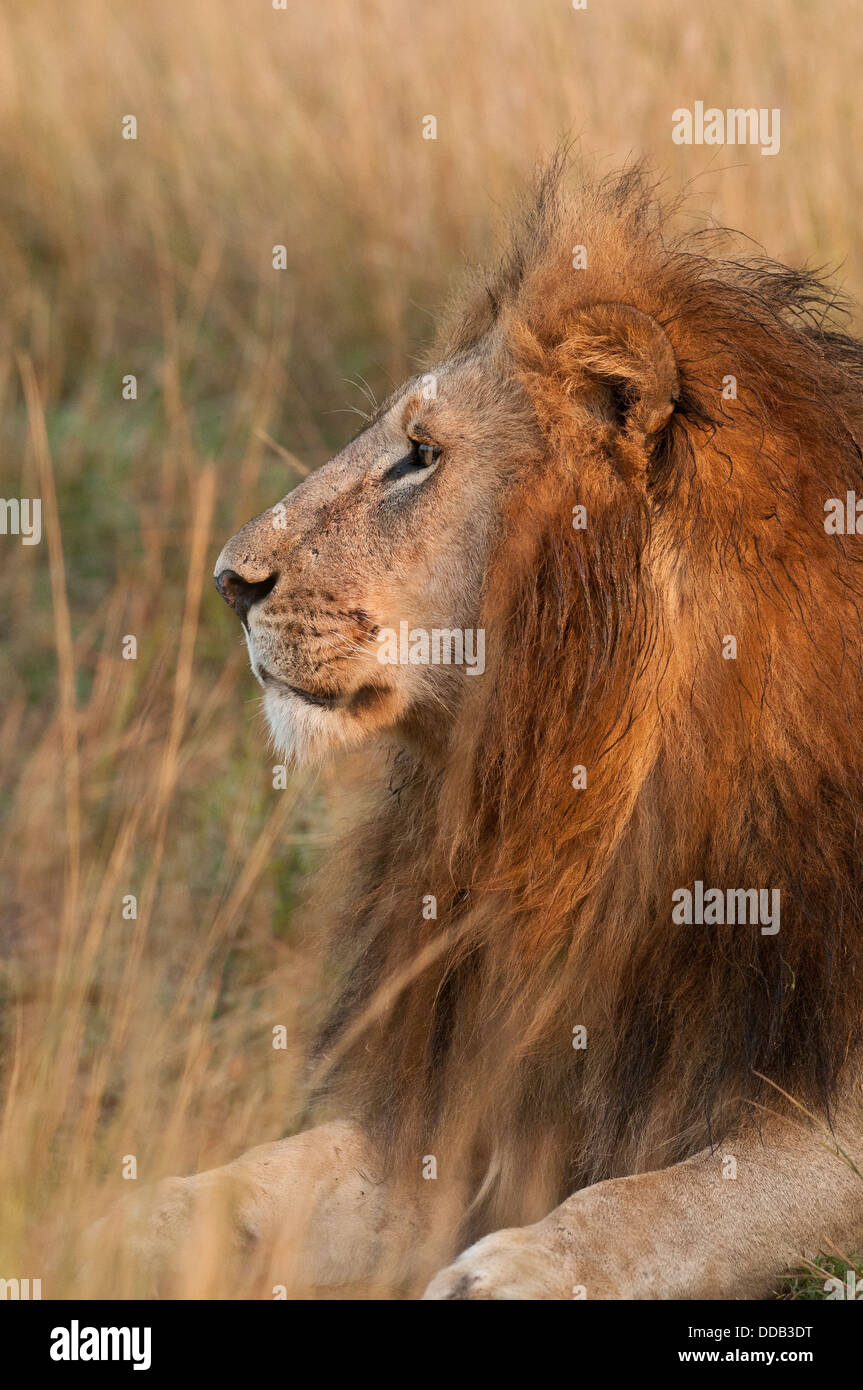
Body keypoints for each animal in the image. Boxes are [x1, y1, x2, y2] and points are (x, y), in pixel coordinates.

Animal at [130, 161, 863, 1299]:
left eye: (419, 456)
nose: (229, 583)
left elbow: (678, 1195)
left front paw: (521, 1269)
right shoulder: (485, 1072)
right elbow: (285, 1168)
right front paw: (127, 1216)